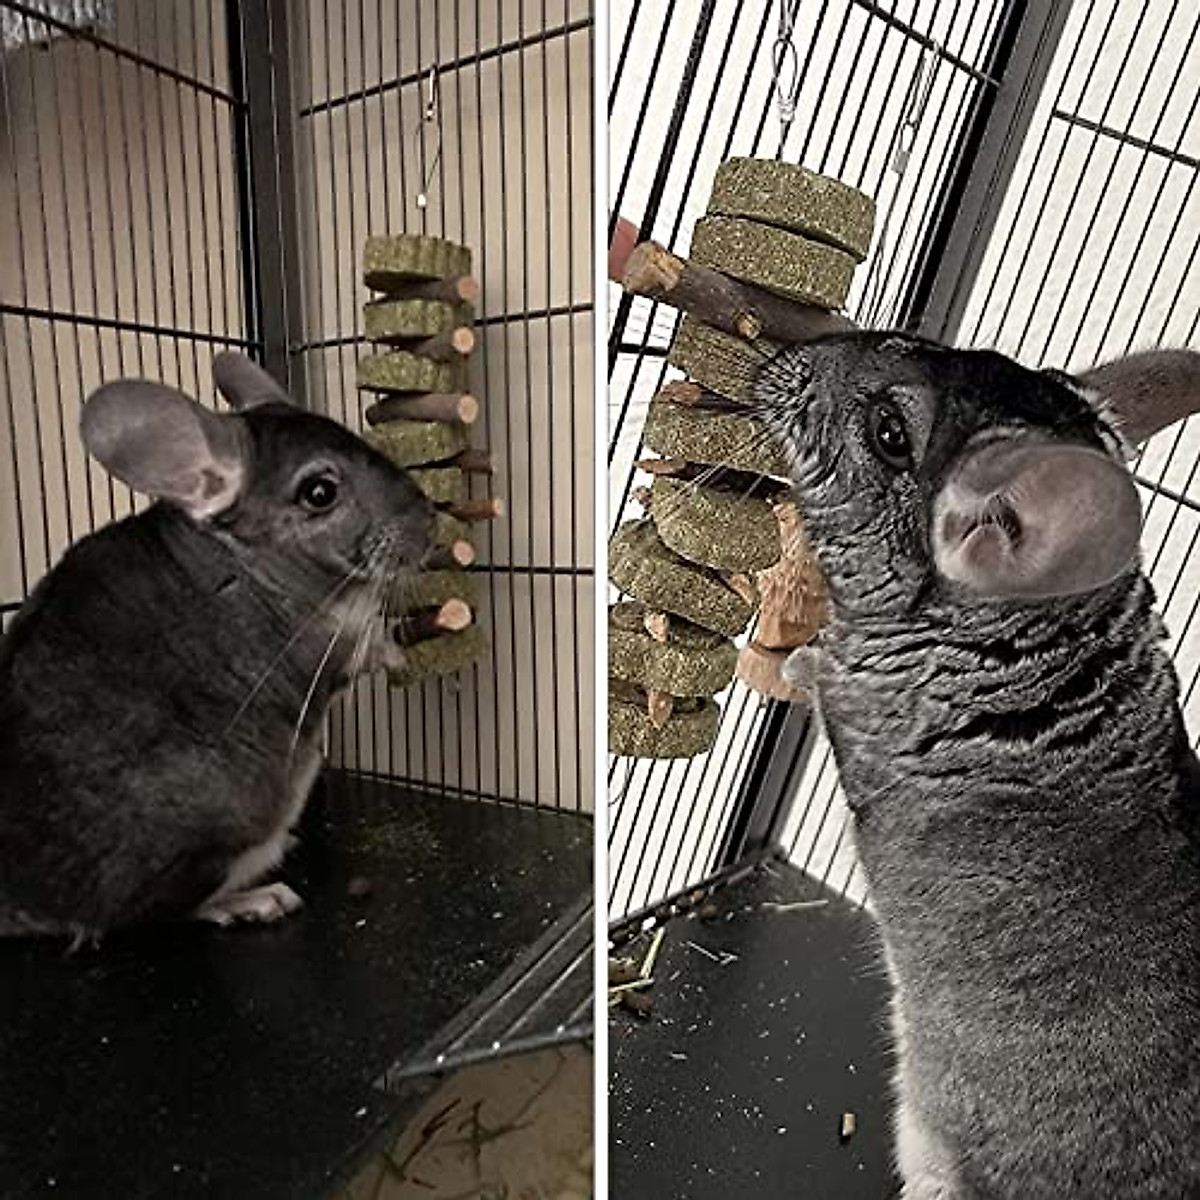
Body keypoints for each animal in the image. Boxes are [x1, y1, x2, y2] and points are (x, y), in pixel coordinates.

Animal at [0, 352, 434, 942]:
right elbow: (364, 647)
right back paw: (257, 897)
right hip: (213, 826)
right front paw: (398, 652)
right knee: (150, 914)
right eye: (319, 492)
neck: (250, 563)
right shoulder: (321, 645)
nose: (431, 522)